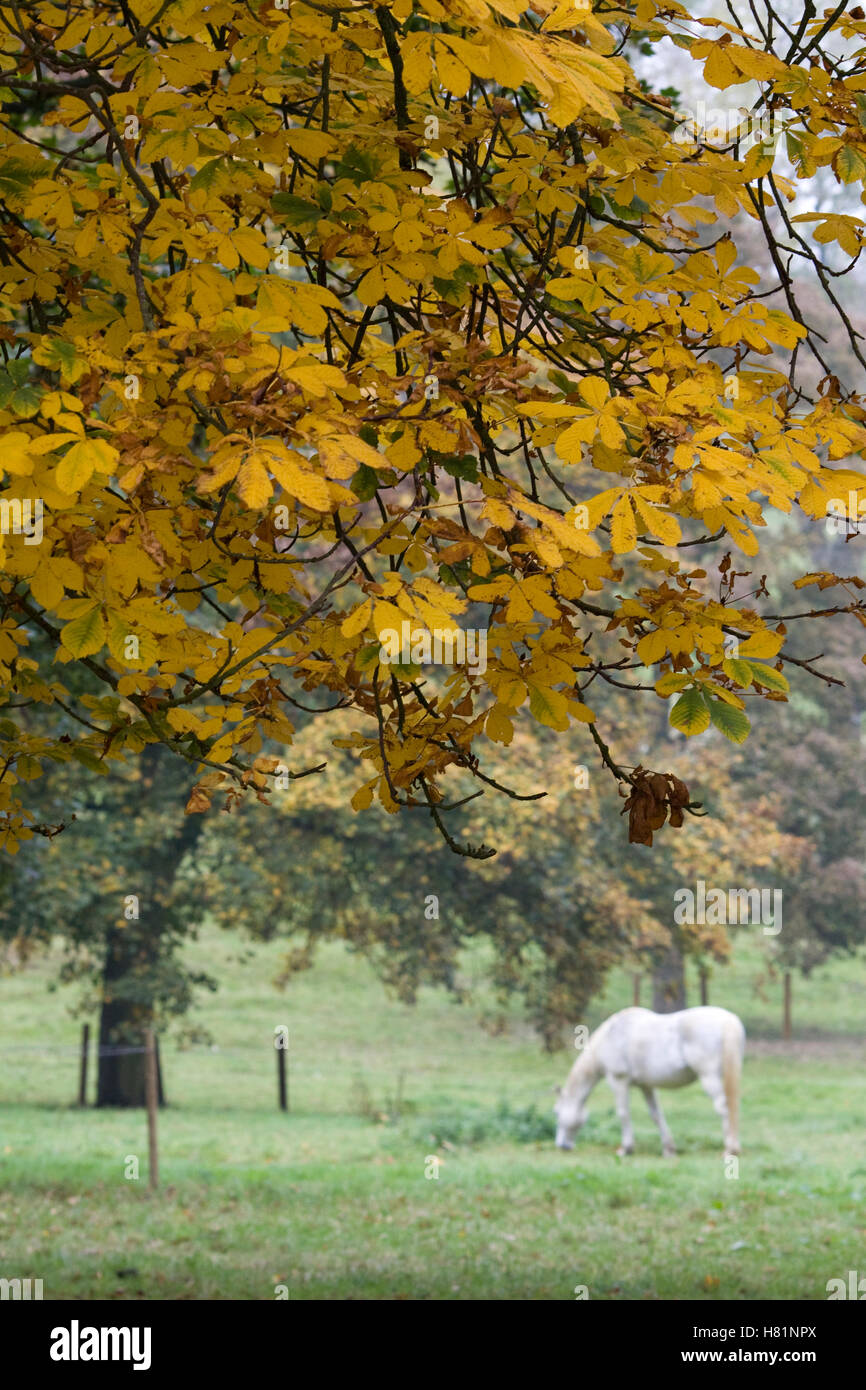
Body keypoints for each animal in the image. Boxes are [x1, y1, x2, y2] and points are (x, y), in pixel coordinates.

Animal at [553, 1006, 745, 1156]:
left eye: (556, 1113)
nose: (562, 1146)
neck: (610, 1037)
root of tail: (728, 1021)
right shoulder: (646, 1086)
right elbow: (656, 1115)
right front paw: (668, 1149)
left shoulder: (618, 1080)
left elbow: (623, 1113)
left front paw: (626, 1149)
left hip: (709, 1078)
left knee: (724, 1108)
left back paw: (730, 1149)